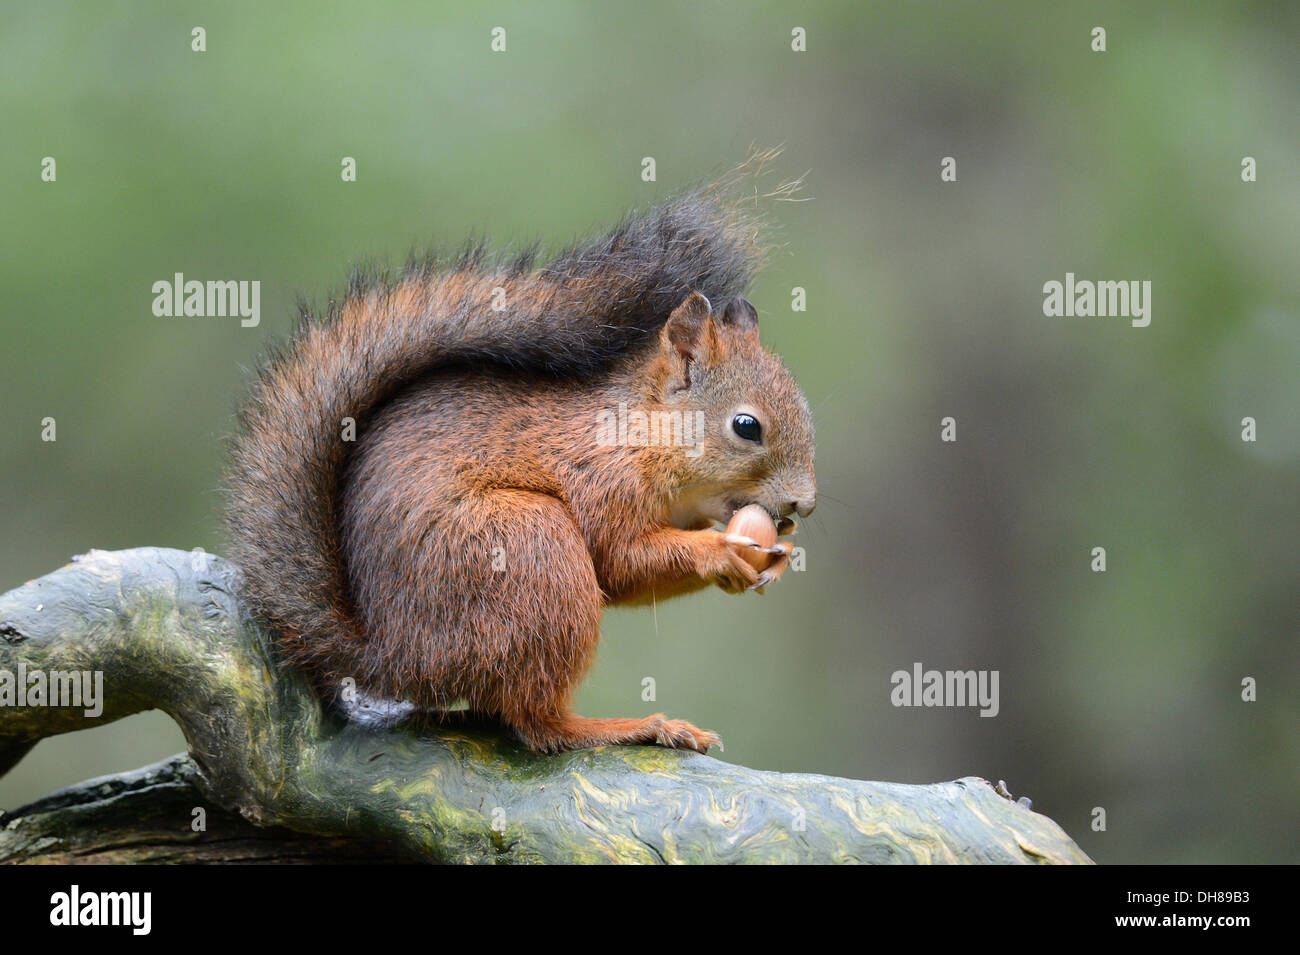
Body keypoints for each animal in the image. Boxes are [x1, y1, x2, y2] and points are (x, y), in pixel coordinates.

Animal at [224, 169, 816, 754]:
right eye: (746, 426)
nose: (804, 505)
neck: (639, 432)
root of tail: (389, 656)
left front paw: (776, 558)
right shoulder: (599, 478)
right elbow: (621, 559)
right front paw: (721, 550)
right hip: (528, 546)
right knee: (537, 720)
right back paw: (627, 727)